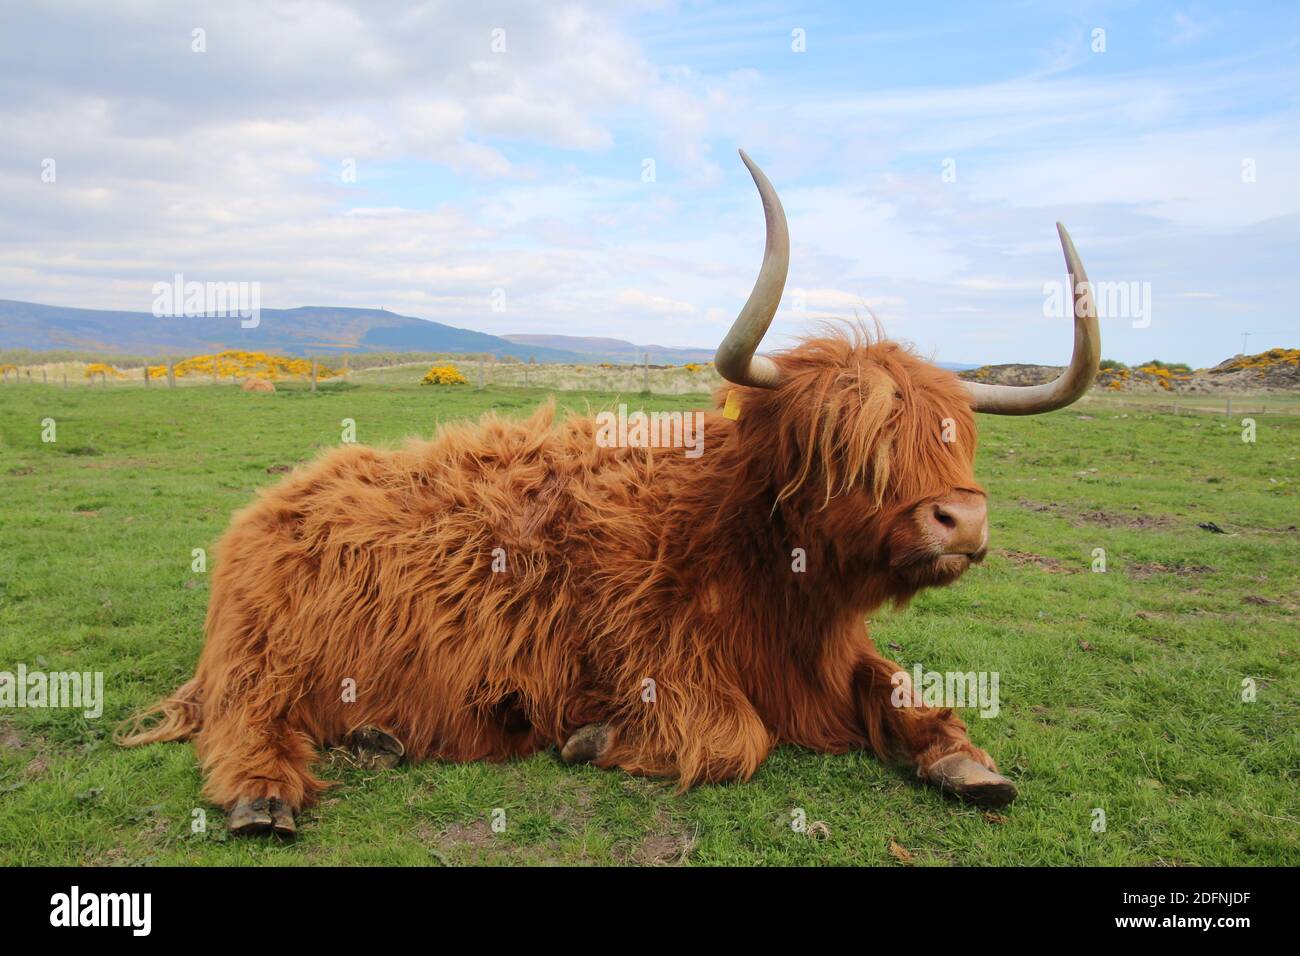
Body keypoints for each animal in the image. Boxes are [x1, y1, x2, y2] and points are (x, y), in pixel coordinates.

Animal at [117, 151, 1100, 836]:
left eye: (956, 434)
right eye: (840, 445)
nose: (962, 520)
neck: (760, 560)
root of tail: (272, 503)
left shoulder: (828, 656)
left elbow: (904, 689)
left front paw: (970, 764)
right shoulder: (653, 657)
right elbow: (736, 738)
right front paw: (593, 740)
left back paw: (376, 739)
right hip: (266, 655)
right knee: (248, 721)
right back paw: (262, 798)